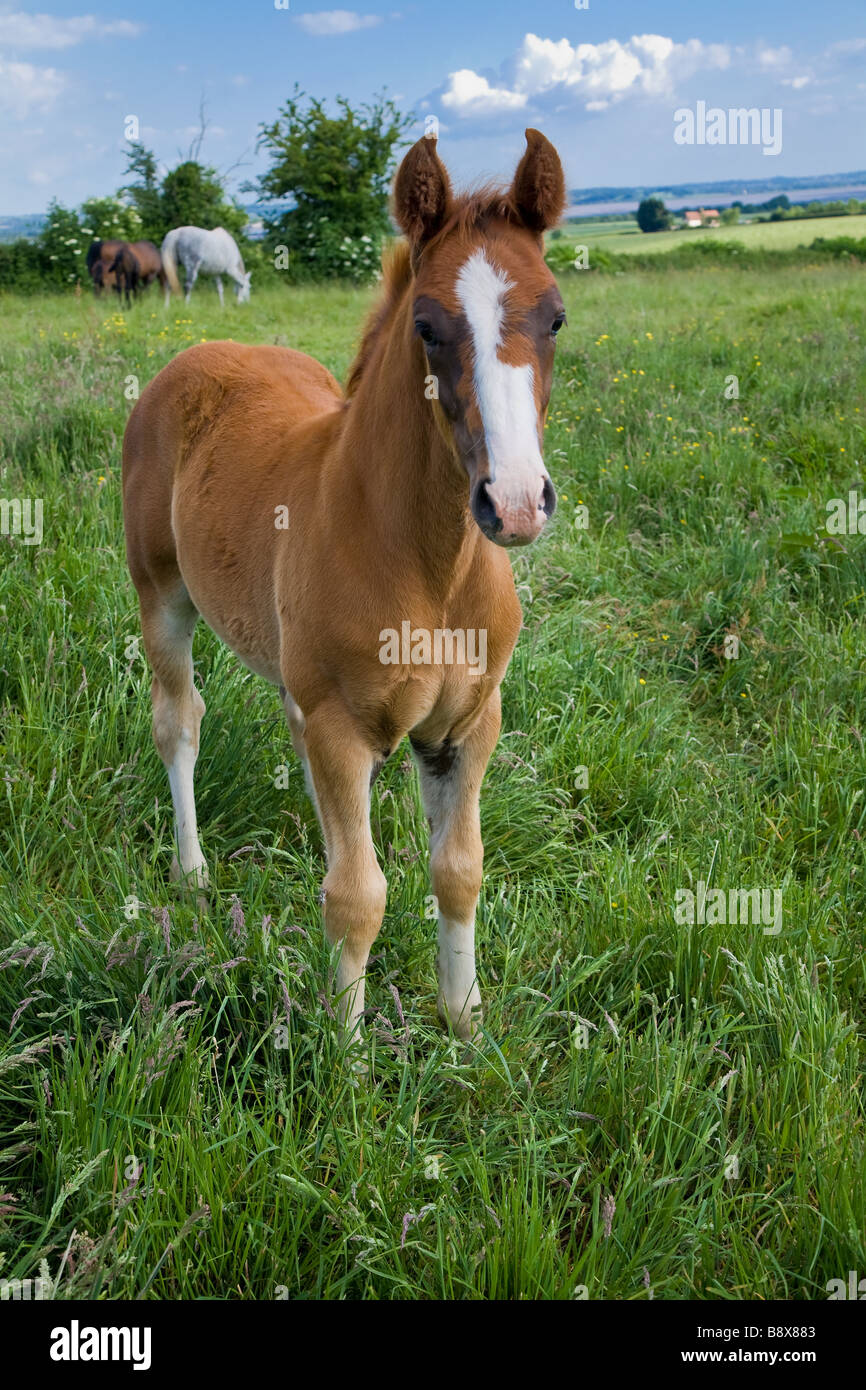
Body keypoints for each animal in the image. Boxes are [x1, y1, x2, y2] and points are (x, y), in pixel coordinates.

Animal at [122, 129, 566, 1045]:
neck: (431, 569)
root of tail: (197, 352)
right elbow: (357, 897)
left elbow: (460, 870)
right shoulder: (343, 725)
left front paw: (466, 1025)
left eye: (556, 317)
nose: (513, 502)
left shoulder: (468, 725)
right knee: (178, 723)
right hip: (161, 594)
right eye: (427, 325)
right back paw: (192, 871)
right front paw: (347, 1053)